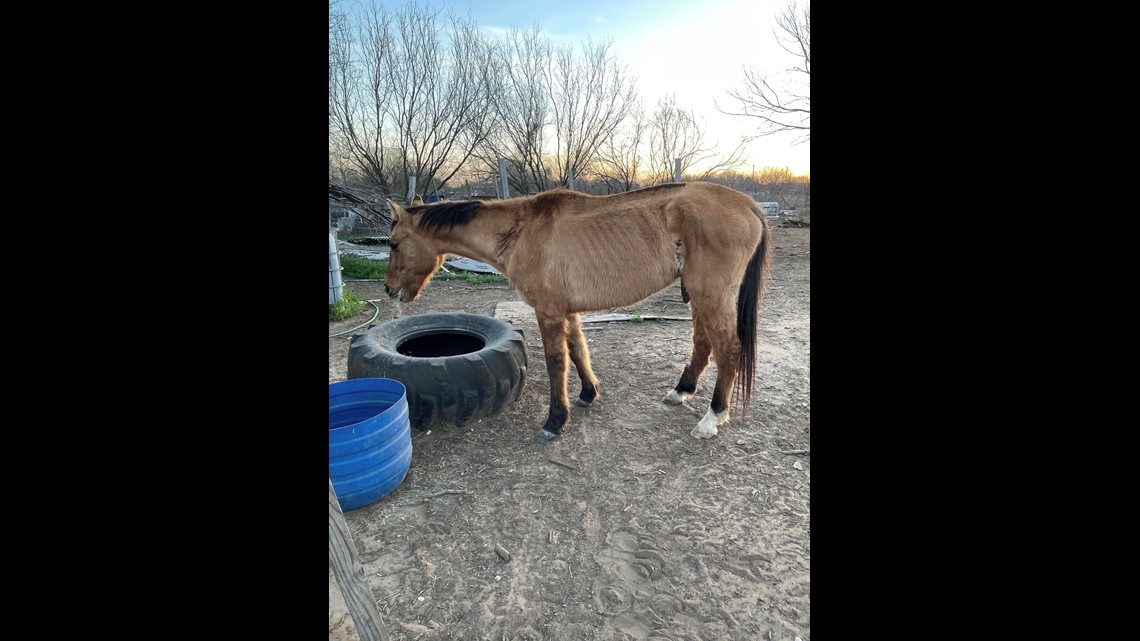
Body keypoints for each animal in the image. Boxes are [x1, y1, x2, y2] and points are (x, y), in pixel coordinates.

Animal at [382, 182, 773, 444]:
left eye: (394, 243)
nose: (388, 289)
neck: (522, 231)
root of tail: (750, 205)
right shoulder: (567, 311)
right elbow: (578, 349)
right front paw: (588, 394)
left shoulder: (548, 312)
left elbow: (557, 363)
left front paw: (554, 421)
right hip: (699, 297)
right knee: (703, 345)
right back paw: (681, 391)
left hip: (711, 296)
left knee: (728, 351)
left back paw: (712, 417)